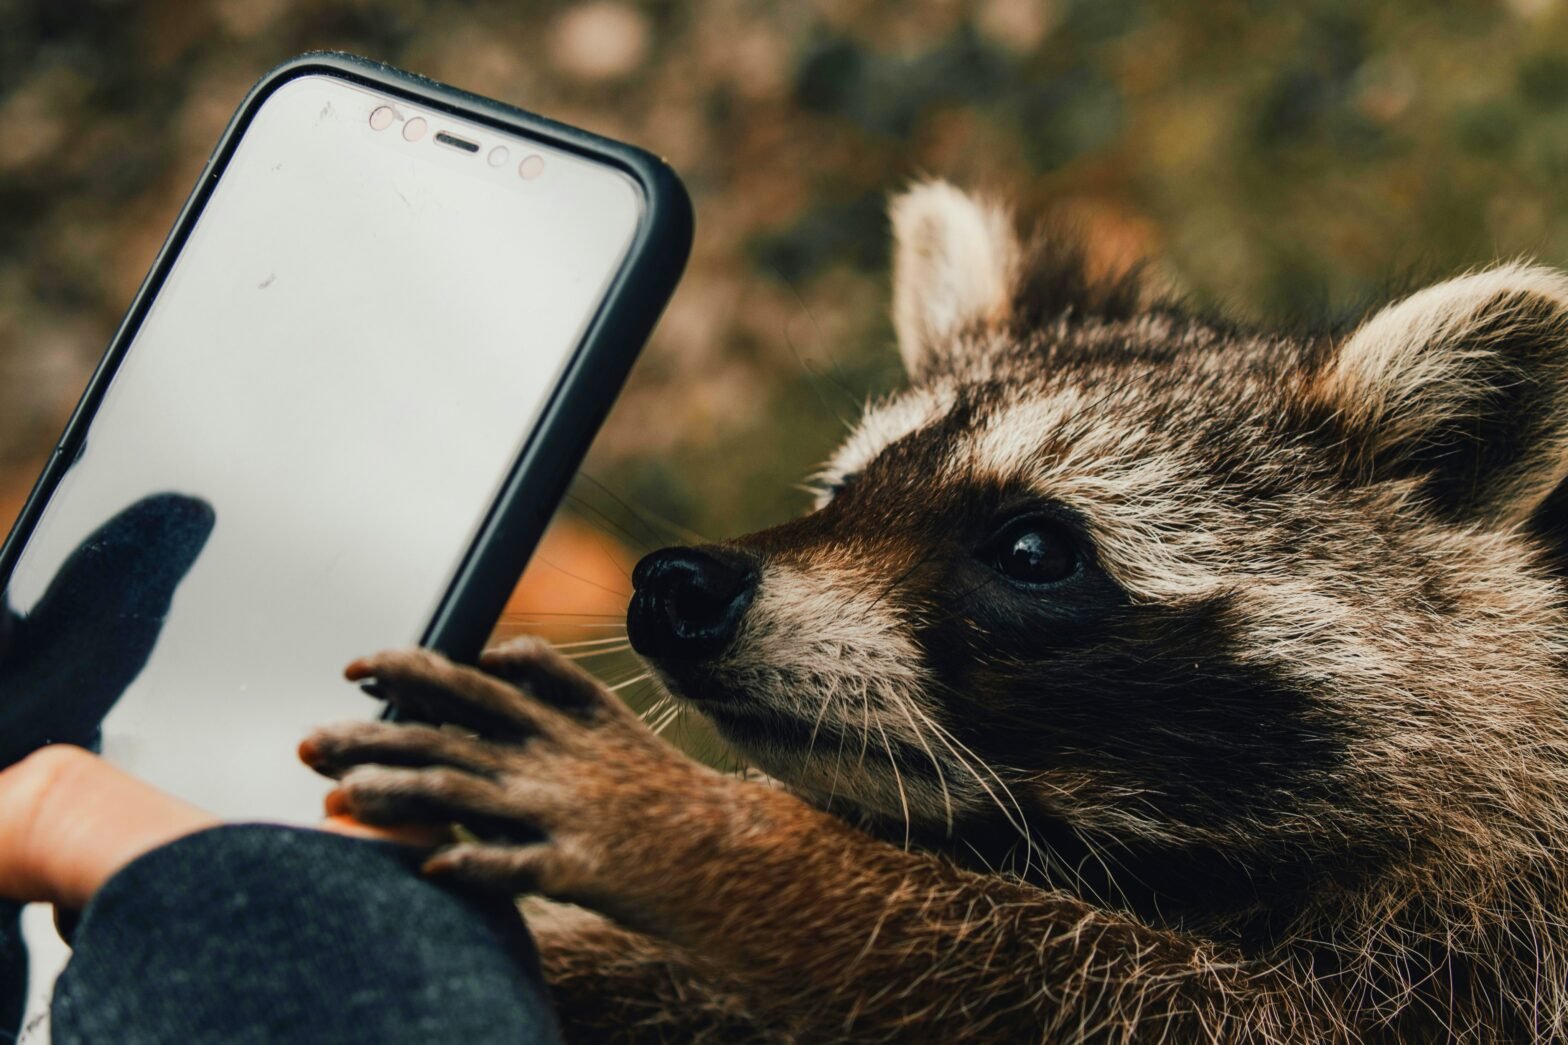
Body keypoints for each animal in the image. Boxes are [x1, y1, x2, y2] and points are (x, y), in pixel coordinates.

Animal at [302, 182, 1568, 1043]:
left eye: (1031, 549)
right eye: (842, 495)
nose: (675, 590)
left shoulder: (1484, 963)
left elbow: (1155, 999)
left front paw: (723, 845)